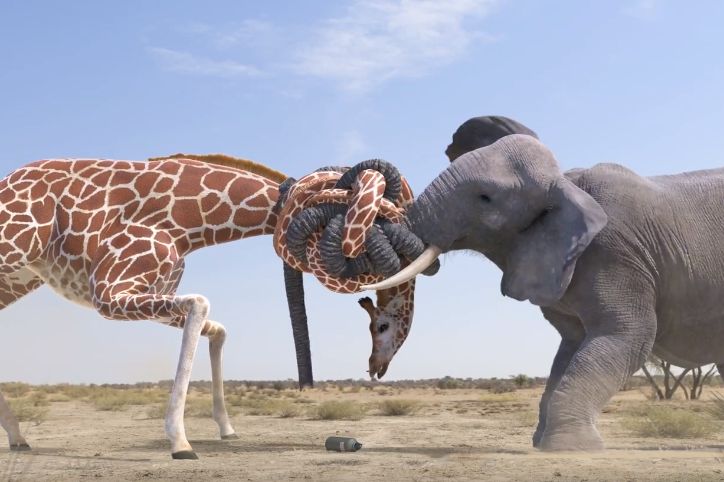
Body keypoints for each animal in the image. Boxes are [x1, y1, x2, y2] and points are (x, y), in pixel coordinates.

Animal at [0, 153, 420, 459]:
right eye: (370, 218)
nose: (377, 365)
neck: (190, 222)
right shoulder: (109, 292)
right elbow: (201, 305)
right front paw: (180, 443)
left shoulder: (149, 291)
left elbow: (216, 329)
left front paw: (226, 428)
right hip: (13, 255)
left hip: (18, 279)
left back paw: (18, 437)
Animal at [364, 129, 724, 451]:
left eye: (486, 197)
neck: (566, 183)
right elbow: (571, 346)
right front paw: (544, 443)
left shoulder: (618, 253)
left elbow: (626, 333)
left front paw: (571, 447)